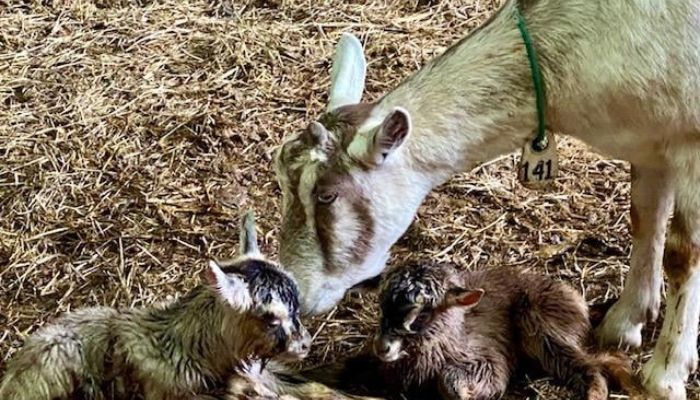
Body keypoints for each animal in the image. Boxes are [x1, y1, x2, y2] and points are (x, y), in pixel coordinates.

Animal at [370, 262, 642, 400]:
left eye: (422, 315)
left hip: (542, 327)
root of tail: (581, 304)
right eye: (382, 307)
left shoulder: (488, 358)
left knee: (595, 366)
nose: (382, 348)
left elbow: (450, 383)